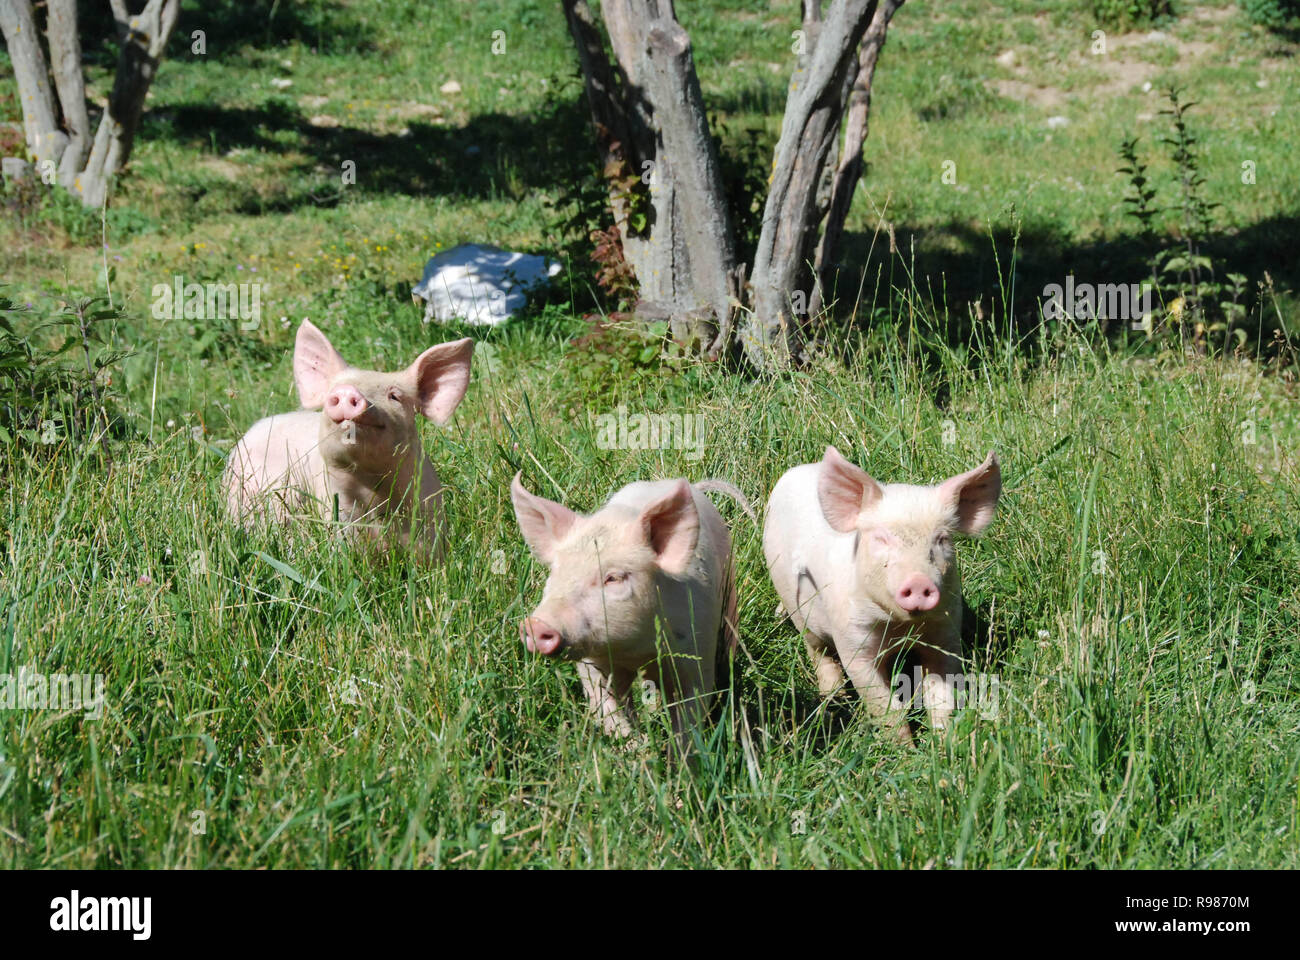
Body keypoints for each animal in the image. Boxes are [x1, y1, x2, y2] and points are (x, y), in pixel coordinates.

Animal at [510, 474, 747, 747]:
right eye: (556, 573)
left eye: (613, 578)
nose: (535, 625)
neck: (635, 650)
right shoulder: (593, 663)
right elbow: (605, 704)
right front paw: (637, 747)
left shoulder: (697, 648)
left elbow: (690, 712)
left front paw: (680, 757)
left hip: (730, 590)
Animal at [763, 446, 1001, 744]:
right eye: (881, 539)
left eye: (941, 540)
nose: (919, 581)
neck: (900, 628)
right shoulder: (852, 641)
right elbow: (885, 706)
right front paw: (905, 750)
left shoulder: (946, 629)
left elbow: (942, 695)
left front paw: (944, 743)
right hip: (795, 605)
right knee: (818, 652)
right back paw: (834, 697)